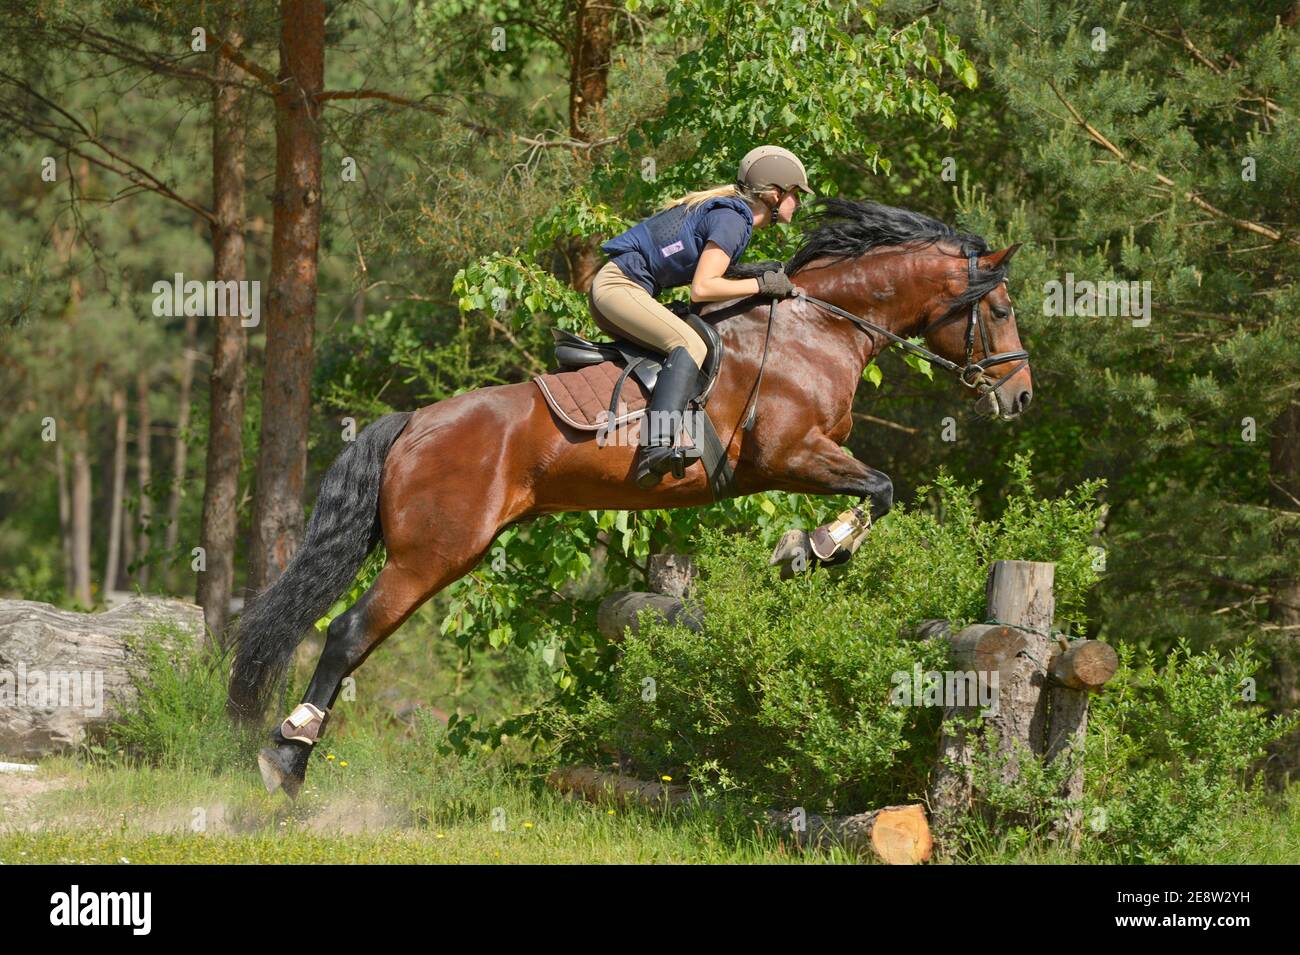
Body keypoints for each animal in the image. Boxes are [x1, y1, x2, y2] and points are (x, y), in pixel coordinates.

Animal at [228, 200, 1034, 797]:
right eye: (998, 310)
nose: (1021, 398)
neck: (820, 325)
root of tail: (414, 423)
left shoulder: (797, 462)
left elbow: (878, 492)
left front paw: (805, 549)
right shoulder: (791, 453)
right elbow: (882, 489)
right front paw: (814, 547)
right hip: (435, 553)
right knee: (347, 634)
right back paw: (286, 760)